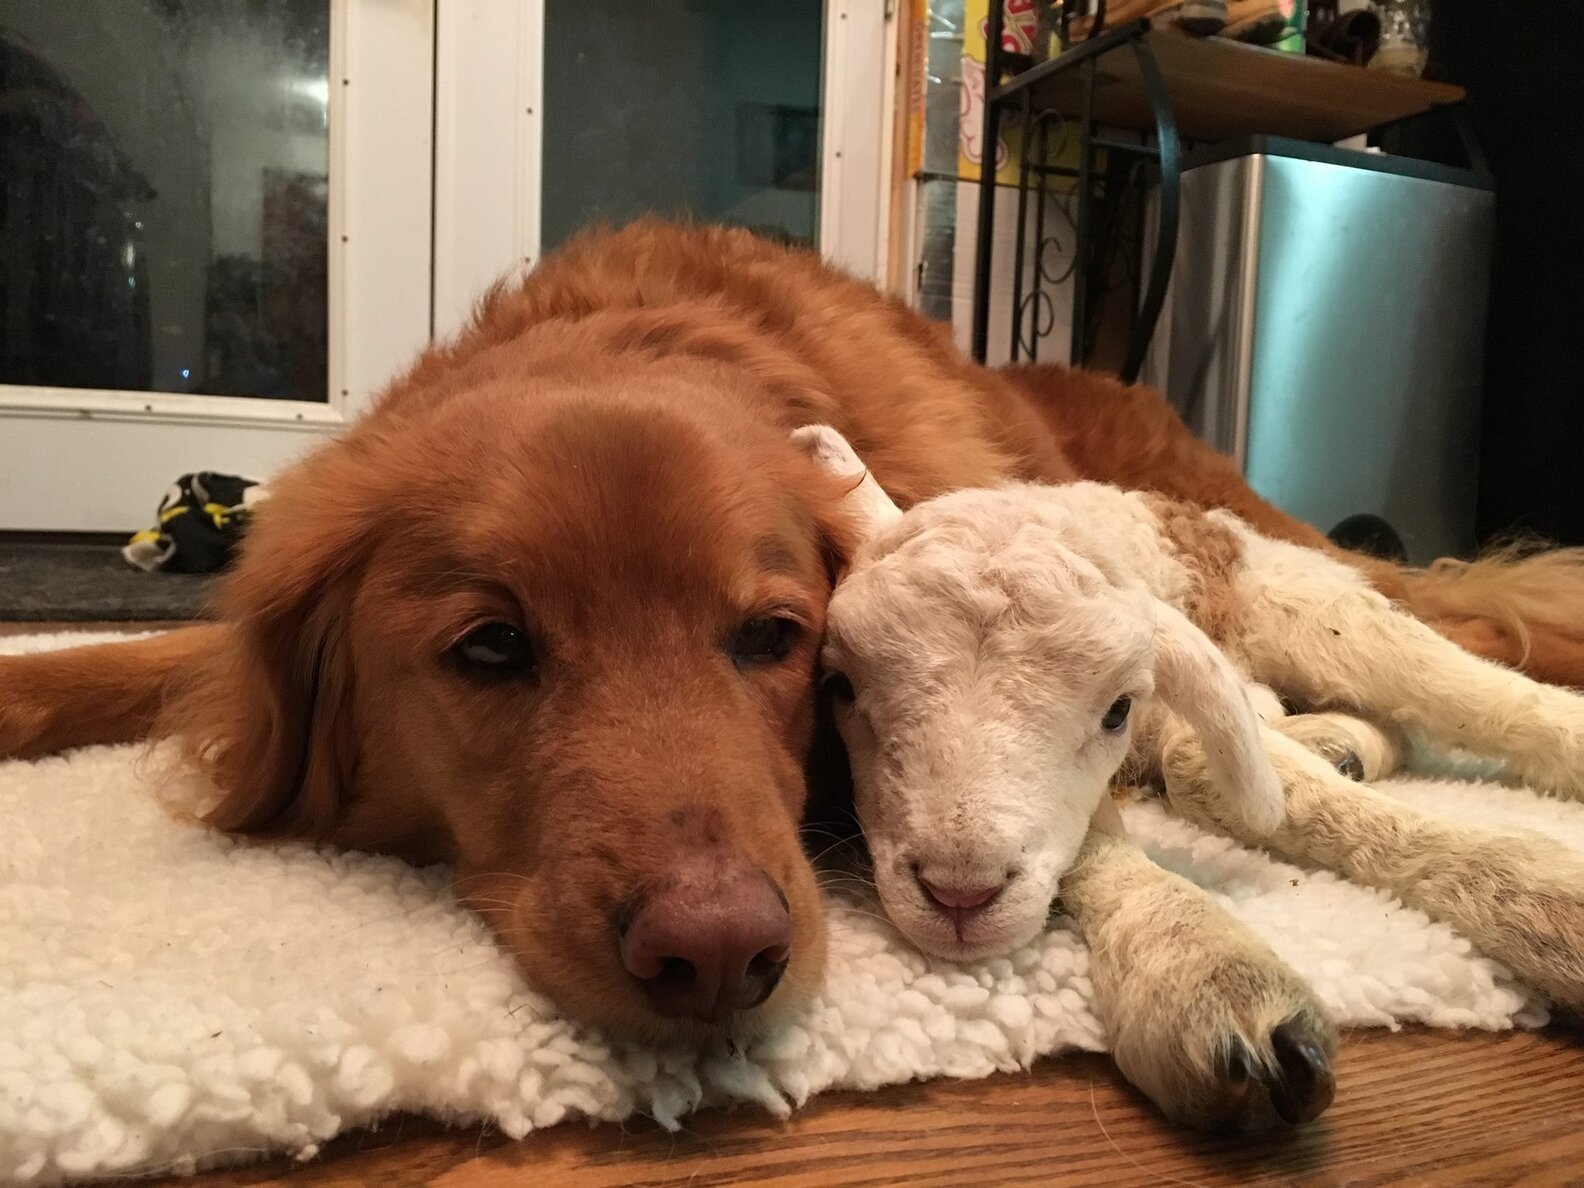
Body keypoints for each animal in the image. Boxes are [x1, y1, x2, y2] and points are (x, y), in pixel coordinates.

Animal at [792, 423, 1584, 1134]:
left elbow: (1232, 776)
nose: (960, 893)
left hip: (1321, 617)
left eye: (1115, 709)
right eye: (839, 687)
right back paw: (1342, 744)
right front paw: (1197, 967)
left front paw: (1541, 896)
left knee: (1479, 693)